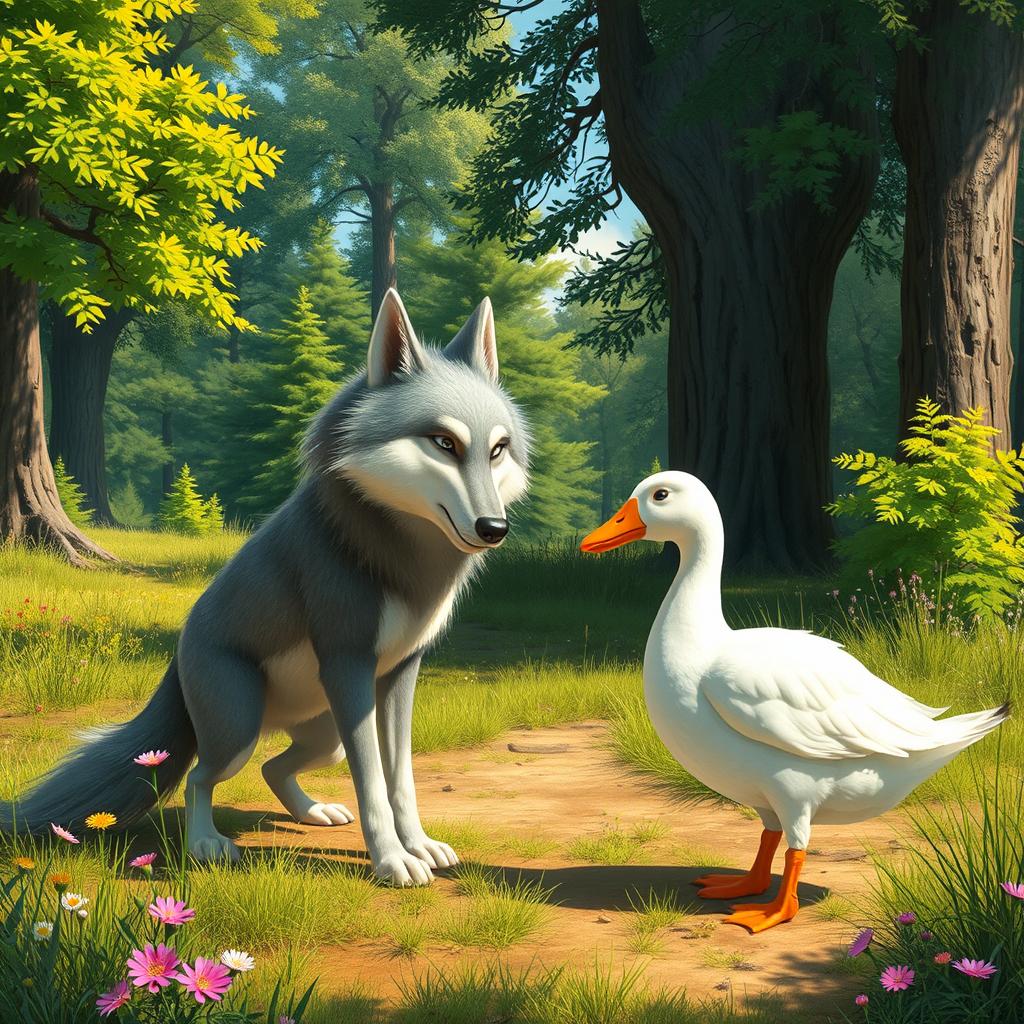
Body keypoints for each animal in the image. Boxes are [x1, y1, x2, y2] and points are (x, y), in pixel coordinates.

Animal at [5, 290, 530, 886]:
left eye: (497, 449)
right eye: (443, 443)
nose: (494, 528)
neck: (396, 557)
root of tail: (179, 650)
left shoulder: (399, 673)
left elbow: (400, 779)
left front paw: (417, 845)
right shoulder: (348, 663)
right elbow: (373, 783)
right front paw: (392, 861)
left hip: (324, 738)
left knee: (272, 767)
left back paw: (313, 811)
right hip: (242, 730)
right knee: (202, 776)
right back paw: (206, 844)